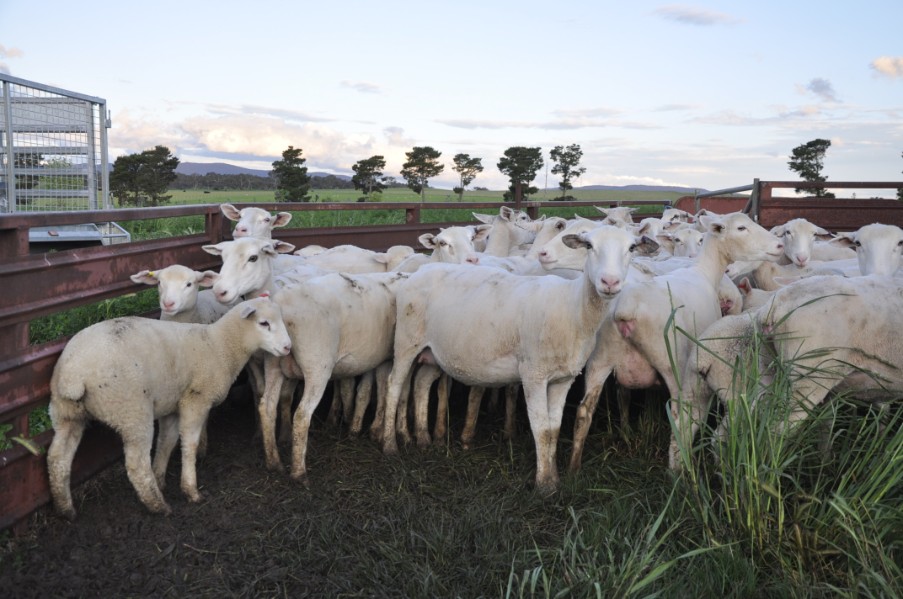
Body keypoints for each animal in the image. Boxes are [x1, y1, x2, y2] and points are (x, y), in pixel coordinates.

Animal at [46, 296, 292, 519]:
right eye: (263, 323)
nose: (288, 347)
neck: (219, 345)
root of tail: (74, 374)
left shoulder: (173, 406)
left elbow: (167, 441)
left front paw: (160, 477)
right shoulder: (196, 401)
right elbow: (189, 444)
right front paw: (190, 490)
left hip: (65, 413)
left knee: (57, 457)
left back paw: (65, 509)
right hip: (131, 410)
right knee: (136, 465)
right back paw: (158, 505)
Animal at [379, 225, 659, 492]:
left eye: (632, 247)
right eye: (589, 245)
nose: (610, 282)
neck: (573, 308)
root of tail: (420, 271)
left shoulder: (563, 379)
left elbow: (554, 428)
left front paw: (554, 477)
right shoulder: (533, 374)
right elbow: (541, 428)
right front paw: (544, 485)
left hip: (434, 352)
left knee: (421, 384)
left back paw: (424, 439)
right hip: (406, 340)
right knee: (395, 384)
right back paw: (390, 443)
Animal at [568, 212, 785, 473]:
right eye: (742, 228)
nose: (780, 246)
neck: (704, 272)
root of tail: (627, 308)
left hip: (599, 359)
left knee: (584, 411)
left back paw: (574, 468)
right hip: (672, 363)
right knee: (680, 416)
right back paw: (681, 472)